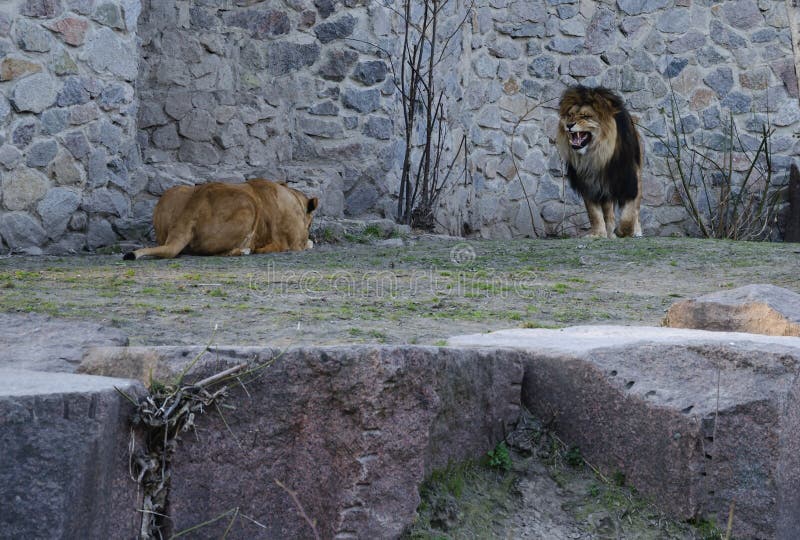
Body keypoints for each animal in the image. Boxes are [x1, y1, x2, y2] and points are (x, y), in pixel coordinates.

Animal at [123, 179, 318, 260]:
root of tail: (193, 206)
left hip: (175, 191)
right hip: (248, 205)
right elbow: (309, 243)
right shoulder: (295, 242)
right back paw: (245, 251)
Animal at [556, 85, 643, 238]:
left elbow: (629, 213)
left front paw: (624, 231)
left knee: (635, 210)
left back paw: (635, 231)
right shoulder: (588, 183)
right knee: (608, 212)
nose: (569, 125)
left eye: (586, 116)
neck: (596, 155)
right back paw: (609, 232)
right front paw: (598, 234)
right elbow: (594, 213)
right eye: (570, 115)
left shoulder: (629, 179)